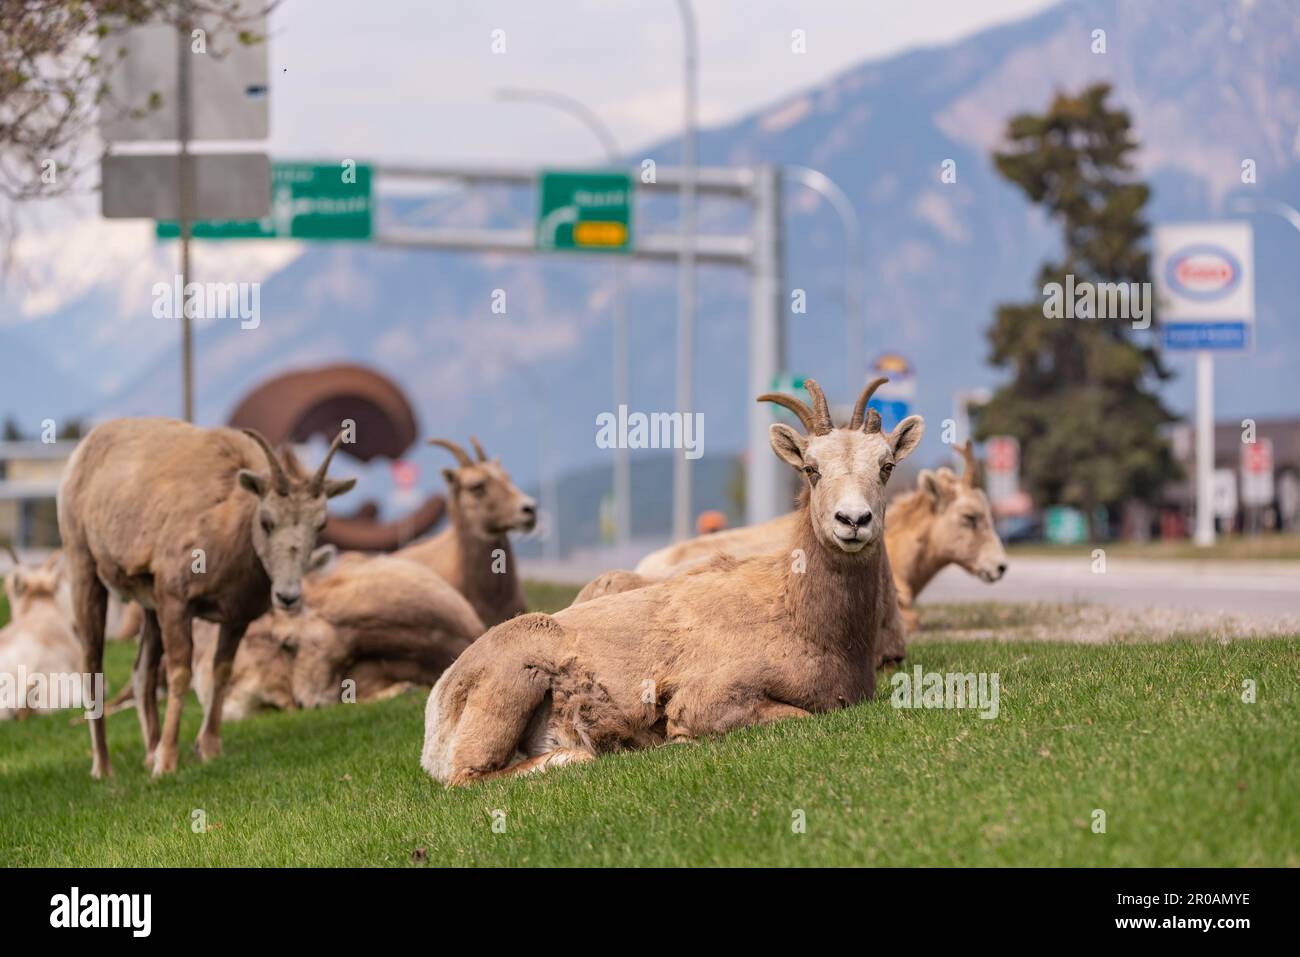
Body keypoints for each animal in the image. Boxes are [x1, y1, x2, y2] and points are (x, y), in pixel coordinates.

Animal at [56, 419, 355, 777]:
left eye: (319, 525)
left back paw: (149, 753)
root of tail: (84, 448)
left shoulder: (235, 618)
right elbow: (180, 674)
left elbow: (220, 672)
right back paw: (104, 768)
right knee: (92, 667)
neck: (227, 525)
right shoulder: (176, 603)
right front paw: (166, 765)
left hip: (149, 608)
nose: (287, 597)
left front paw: (208, 750)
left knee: (141, 672)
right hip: (85, 573)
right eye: (267, 521)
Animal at [421, 378, 923, 785]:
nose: (853, 521)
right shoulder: (713, 702)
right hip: (515, 685)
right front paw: (674, 741)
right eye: (811, 469)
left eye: (886, 467)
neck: (803, 622)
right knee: (470, 777)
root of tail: (437, 713)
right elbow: (788, 717)